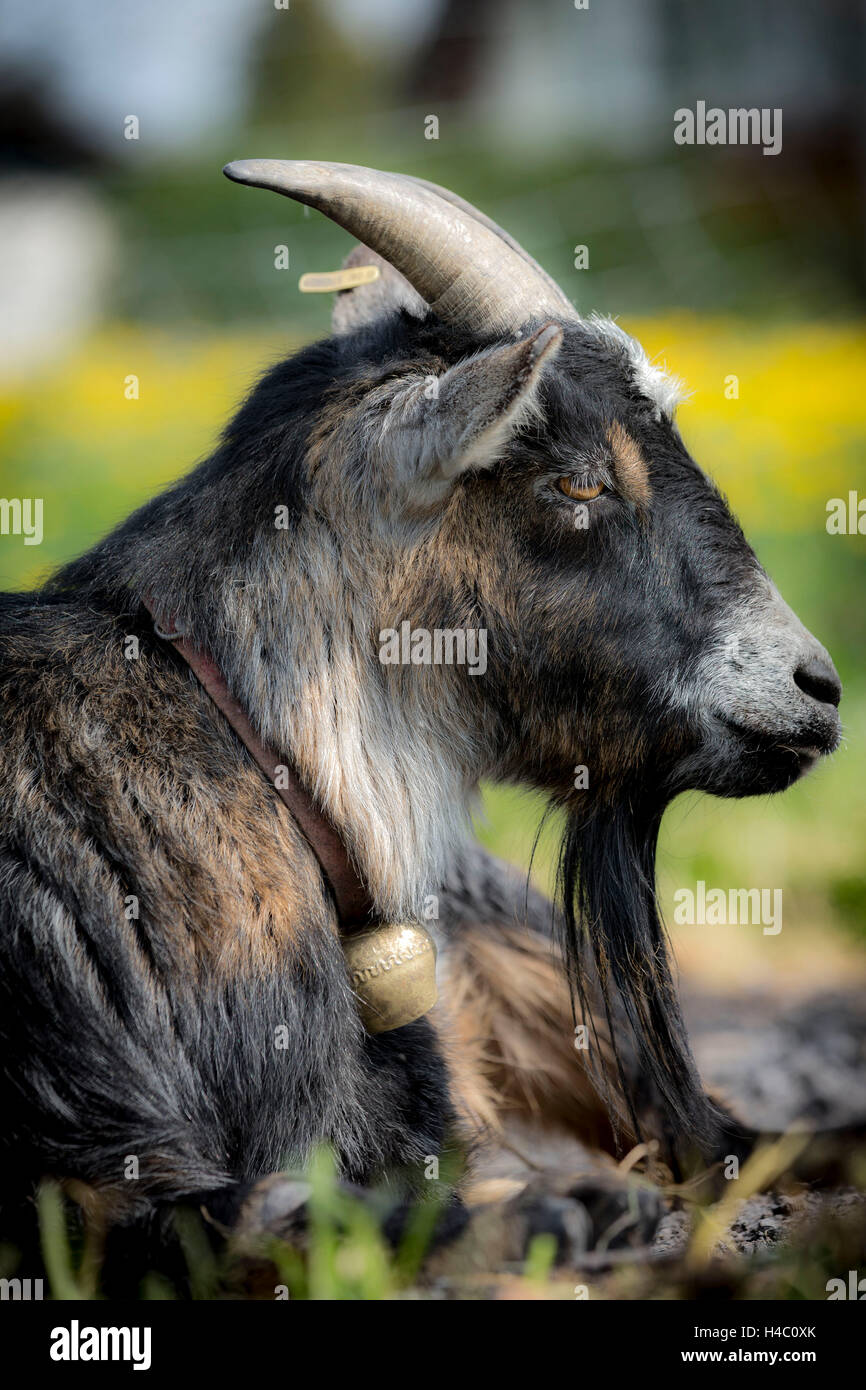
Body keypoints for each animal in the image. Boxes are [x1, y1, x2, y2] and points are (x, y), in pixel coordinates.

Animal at [0, 161, 842, 1282]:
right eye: (577, 477)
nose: (817, 686)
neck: (258, 754)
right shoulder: (86, 1163)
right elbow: (260, 1212)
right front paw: (557, 1211)